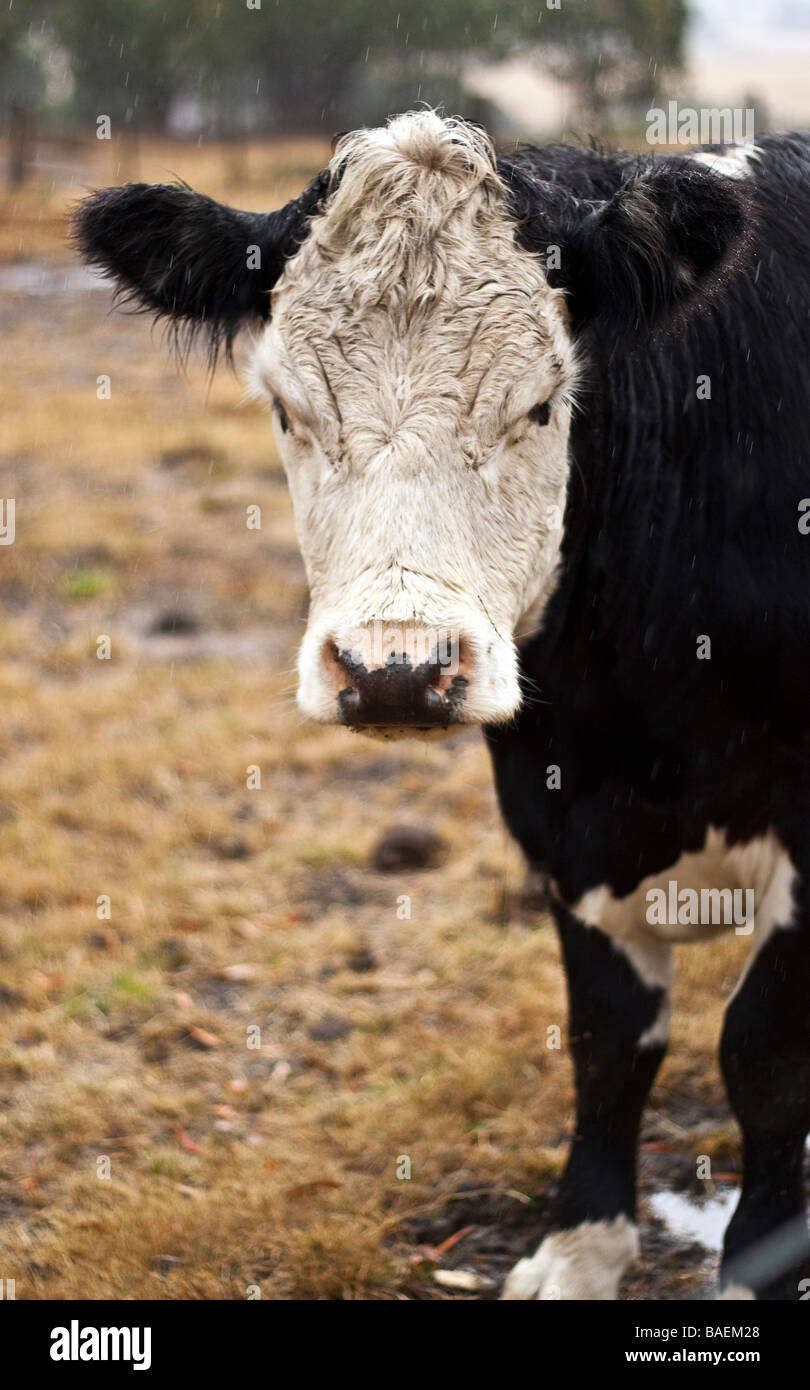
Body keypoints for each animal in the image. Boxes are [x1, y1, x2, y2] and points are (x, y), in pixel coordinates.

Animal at [75, 110, 810, 1301]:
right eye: (287, 408)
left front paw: (759, 1265)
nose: (394, 669)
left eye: (542, 402)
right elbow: (610, 1036)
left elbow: (762, 1052)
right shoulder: (561, 812)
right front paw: (581, 1244)